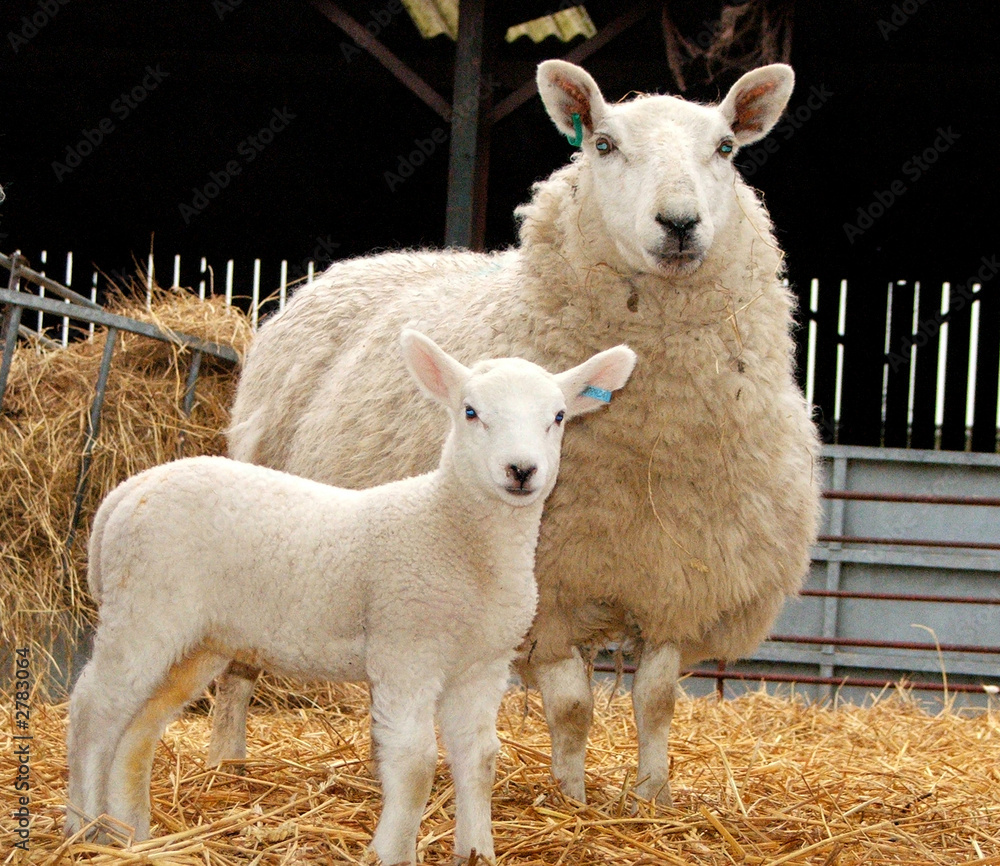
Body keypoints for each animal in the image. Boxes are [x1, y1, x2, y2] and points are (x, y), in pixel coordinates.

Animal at [64, 329, 638, 865]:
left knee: (138, 727)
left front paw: (477, 851)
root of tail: (128, 491)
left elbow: (479, 758)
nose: (521, 471)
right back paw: (82, 827)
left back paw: (131, 834)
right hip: (143, 610)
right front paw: (392, 852)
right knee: (93, 707)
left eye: (558, 416)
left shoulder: (482, 664)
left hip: (197, 637)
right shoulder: (406, 650)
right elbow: (414, 763)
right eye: (471, 412)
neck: (452, 531)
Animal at [211, 59, 821, 808]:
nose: (679, 224)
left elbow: (655, 701)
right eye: (604, 144)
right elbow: (573, 708)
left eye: (726, 148)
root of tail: (343, 270)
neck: (652, 445)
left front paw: (652, 798)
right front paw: (572, 799)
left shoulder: (678, 579)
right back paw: (228, 765)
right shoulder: (549, 595)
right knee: (239, 665)